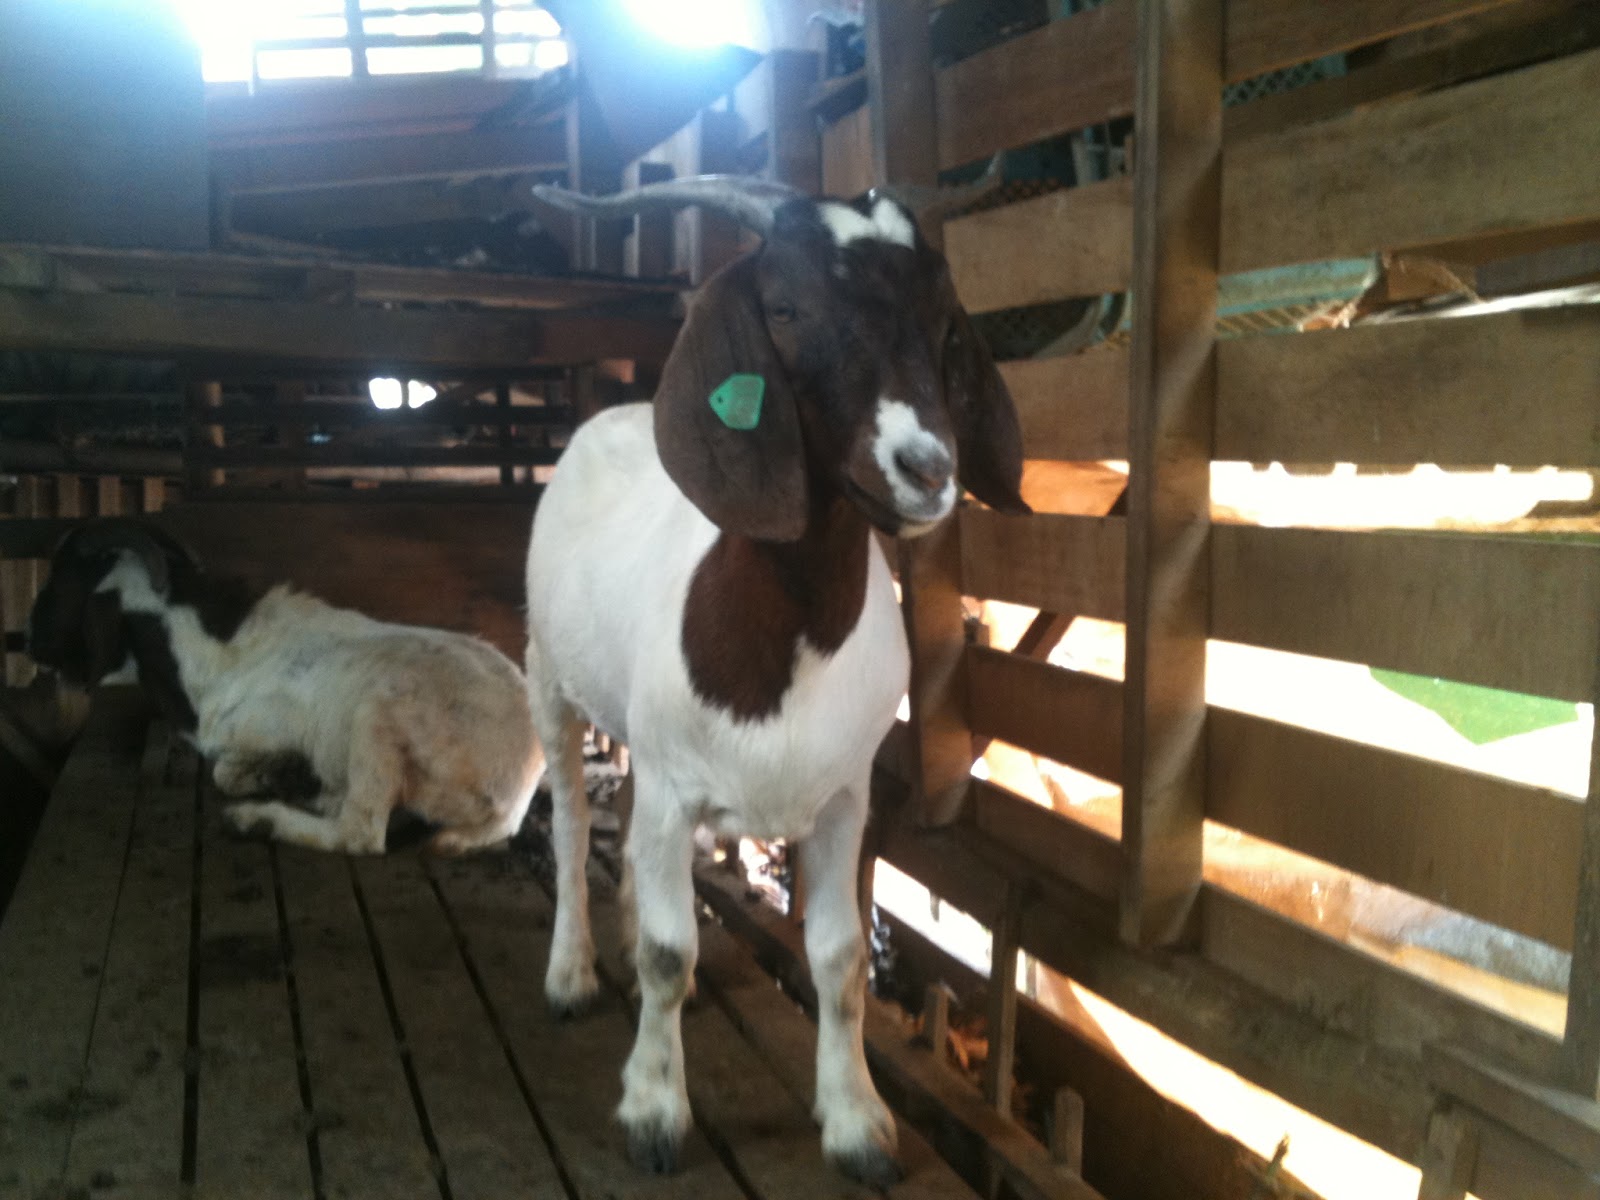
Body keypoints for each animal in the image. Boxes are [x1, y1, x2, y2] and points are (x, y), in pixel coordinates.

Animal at [27, 520, 541, 856]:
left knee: (361, 834)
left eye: (61, 582)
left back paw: (255, 818)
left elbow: (224, 773)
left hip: (380, 715)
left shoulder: (265, 729)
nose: (31, 640)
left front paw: (275, 776)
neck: (213, 656)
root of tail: (519, 785)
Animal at [524, 174, 1028, 1184]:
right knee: (569, 820)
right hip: (550, 677)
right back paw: (572, 972)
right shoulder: (677, 784)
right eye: (788, 309)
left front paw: (857, 1120)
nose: (927, 470)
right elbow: (671, 953)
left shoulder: (842, 801)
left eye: (945, 320)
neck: (786, 649)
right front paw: (653, 1109)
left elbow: (838, 959)